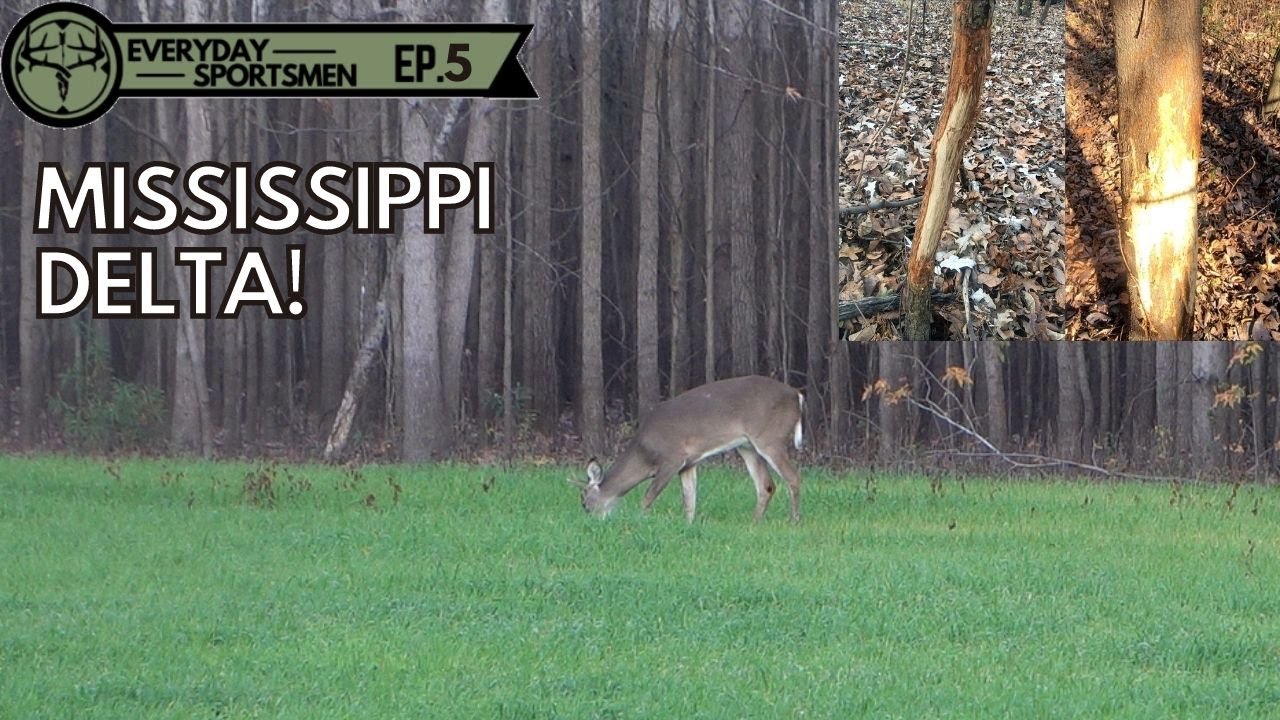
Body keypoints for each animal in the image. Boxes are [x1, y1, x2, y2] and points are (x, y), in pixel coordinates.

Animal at [572, 375, 805, 522]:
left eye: (583, 501)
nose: (590, 520)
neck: (645, 454)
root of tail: (797, 395)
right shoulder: (689, 464)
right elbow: (690, 499)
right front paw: (688, 524)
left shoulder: (672, 458)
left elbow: (649, 496)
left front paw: (640, 520)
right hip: (747, 446)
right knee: (766, 485)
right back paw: (754, 522)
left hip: (769, 438)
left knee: (793, 477)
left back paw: (793, 520)